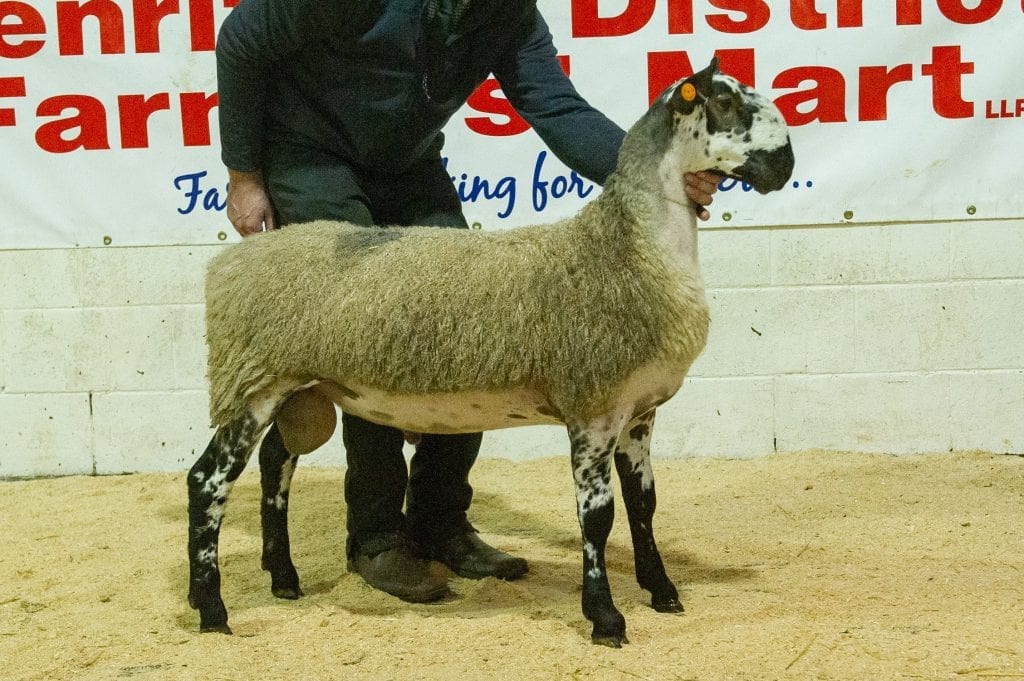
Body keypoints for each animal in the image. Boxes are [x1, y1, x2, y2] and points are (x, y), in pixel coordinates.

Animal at [187, 57, 794, 646]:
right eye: (724, 101)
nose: (786, 165)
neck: (629, 248)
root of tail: (234, 258)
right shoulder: (592, 408)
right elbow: (597, 519)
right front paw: (605, 618)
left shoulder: (638, 413)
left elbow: (643, 504)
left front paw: (662, 590)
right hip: (253, 383)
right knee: (207, 482)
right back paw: (211, 607)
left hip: (297, 390)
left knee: (274, 465)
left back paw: (281, 577)